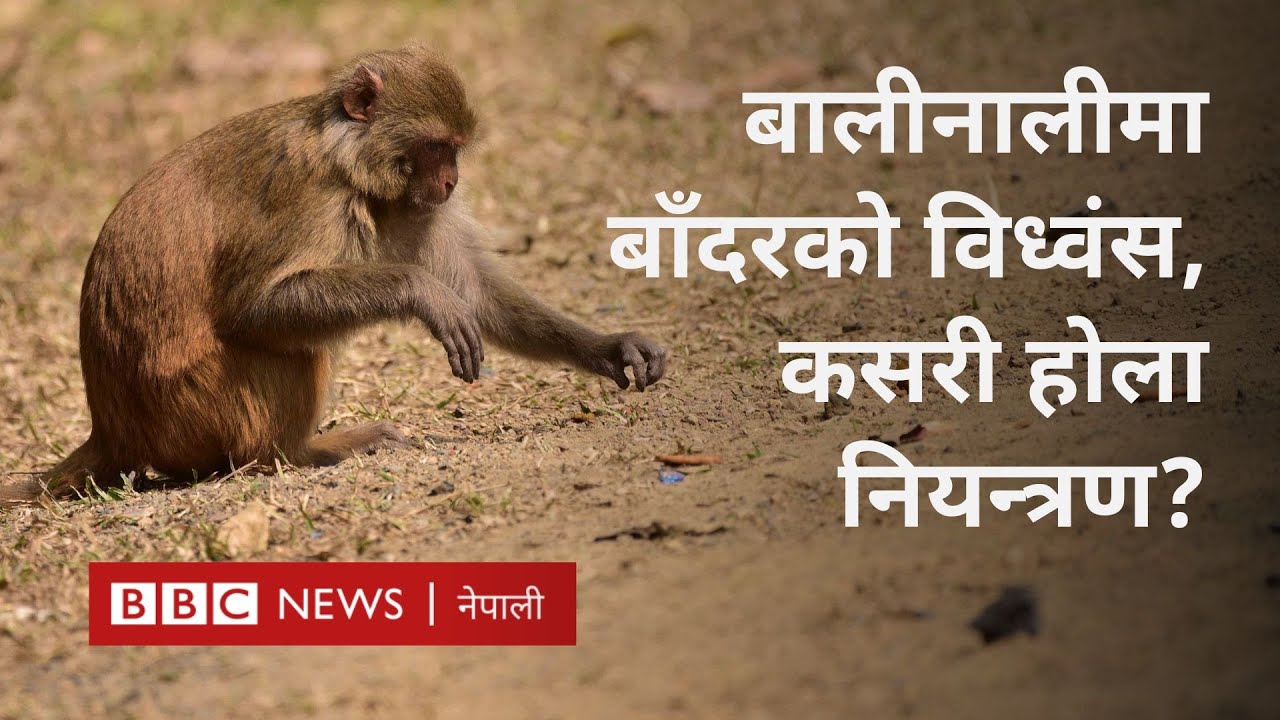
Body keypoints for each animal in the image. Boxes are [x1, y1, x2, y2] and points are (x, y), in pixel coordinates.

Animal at [0, 46, 667, 505]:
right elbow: (253, 309)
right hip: (198, 404)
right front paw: (421, 293)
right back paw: (301, 453)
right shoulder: (306, 193)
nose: (452, 181)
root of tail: (113, 428)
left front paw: (612, 347)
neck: (347, 160)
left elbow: (477, 295)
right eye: (436, 147)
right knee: (295, 353)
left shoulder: (413, 206)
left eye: (456, 148)